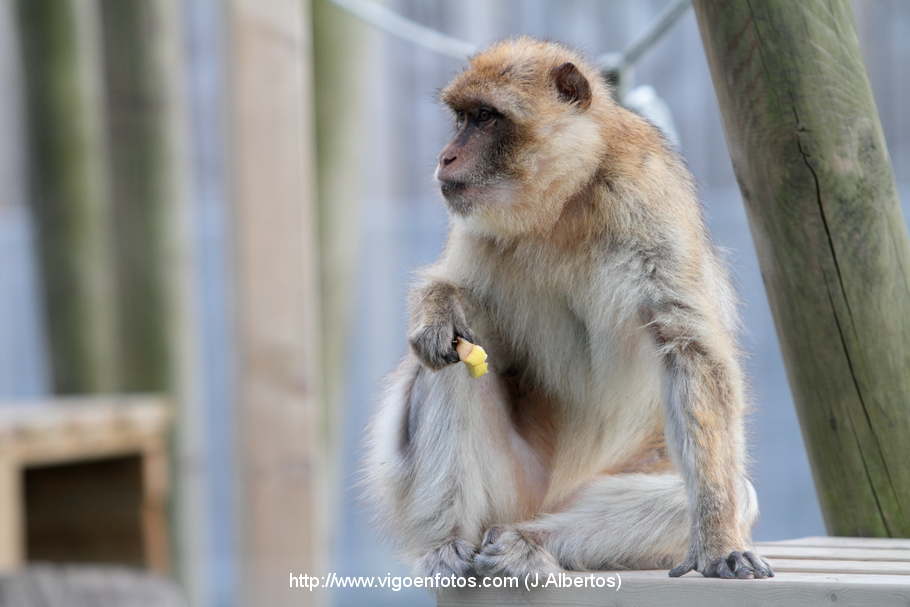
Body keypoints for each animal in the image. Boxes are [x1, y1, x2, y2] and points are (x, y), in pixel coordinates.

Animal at [364, 37, 773, 581]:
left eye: (486, 118)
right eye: (462, 118)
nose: (446, 156)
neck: (566, 198)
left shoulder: (649, 199)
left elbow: (689, 352)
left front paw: (719, 536)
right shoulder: (477, 225)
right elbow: (455, 307)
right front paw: (437, 312)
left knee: (717, 498)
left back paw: (527, 542)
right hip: (511, 488)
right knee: (452, 365)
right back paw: (451, 543)